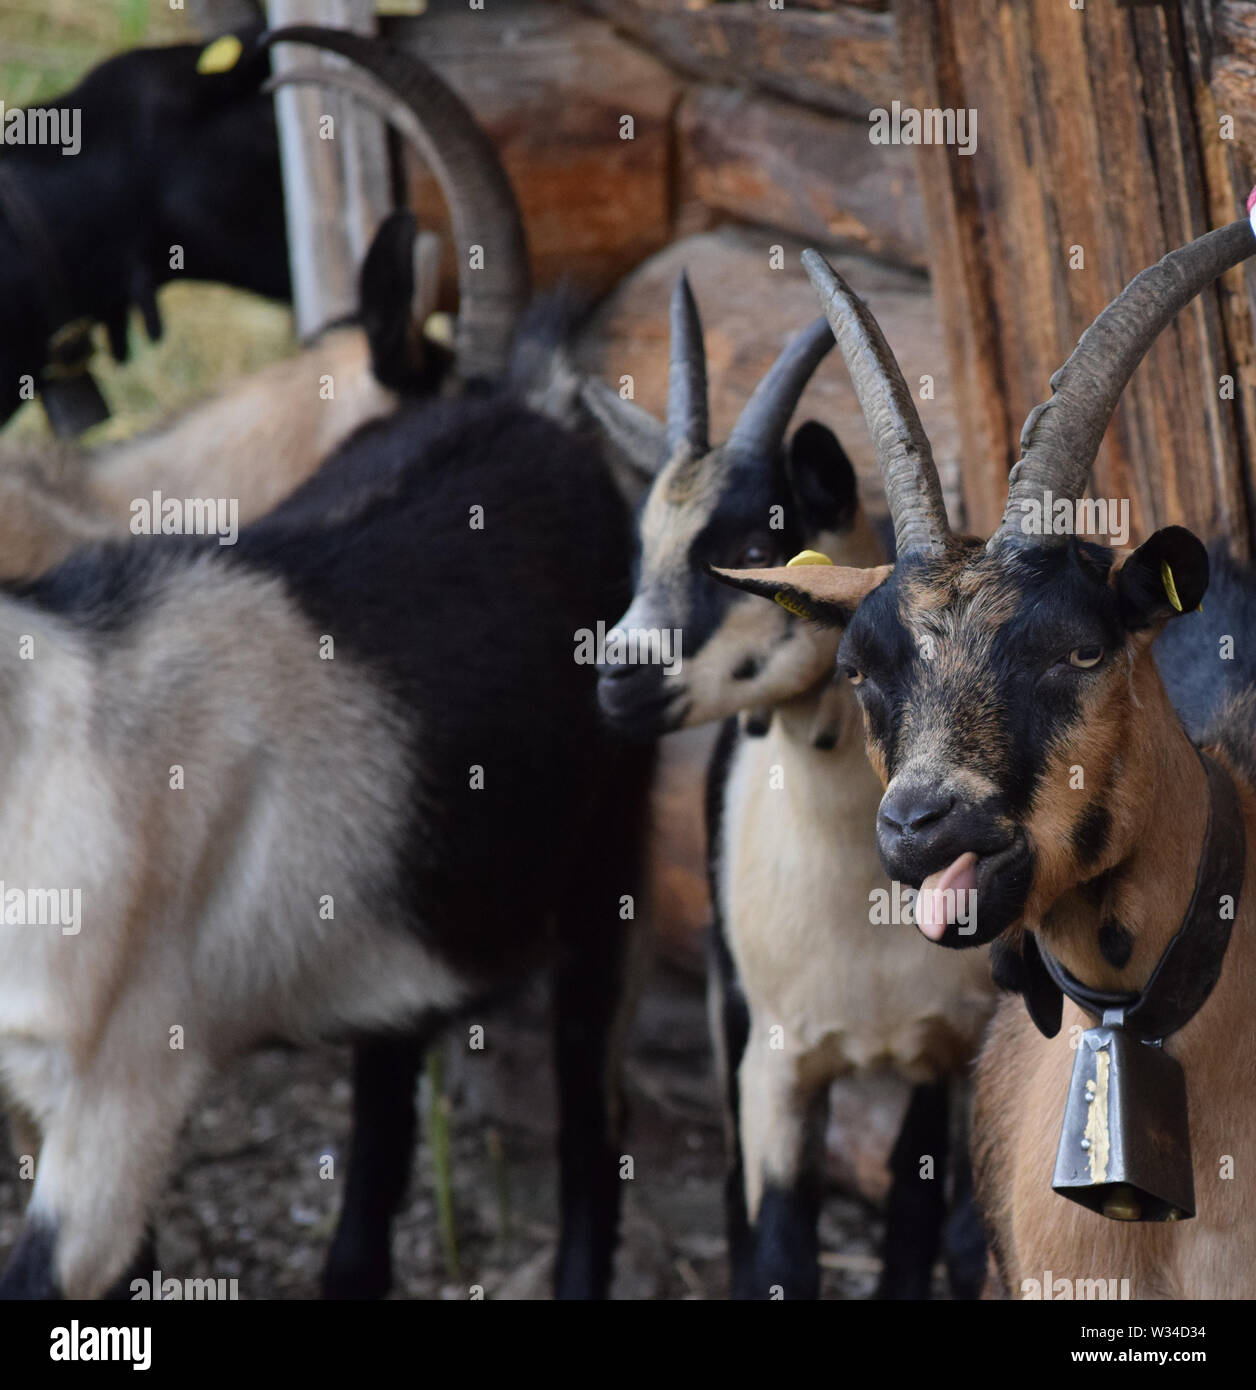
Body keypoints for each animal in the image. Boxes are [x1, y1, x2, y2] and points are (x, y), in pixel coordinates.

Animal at [594, 275, 994, 1298]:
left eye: (744, 548)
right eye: (643, 546)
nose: (617, 675)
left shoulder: (969, 1045)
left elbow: (957, 1238)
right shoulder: (774, 1062)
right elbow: (775, 1244)